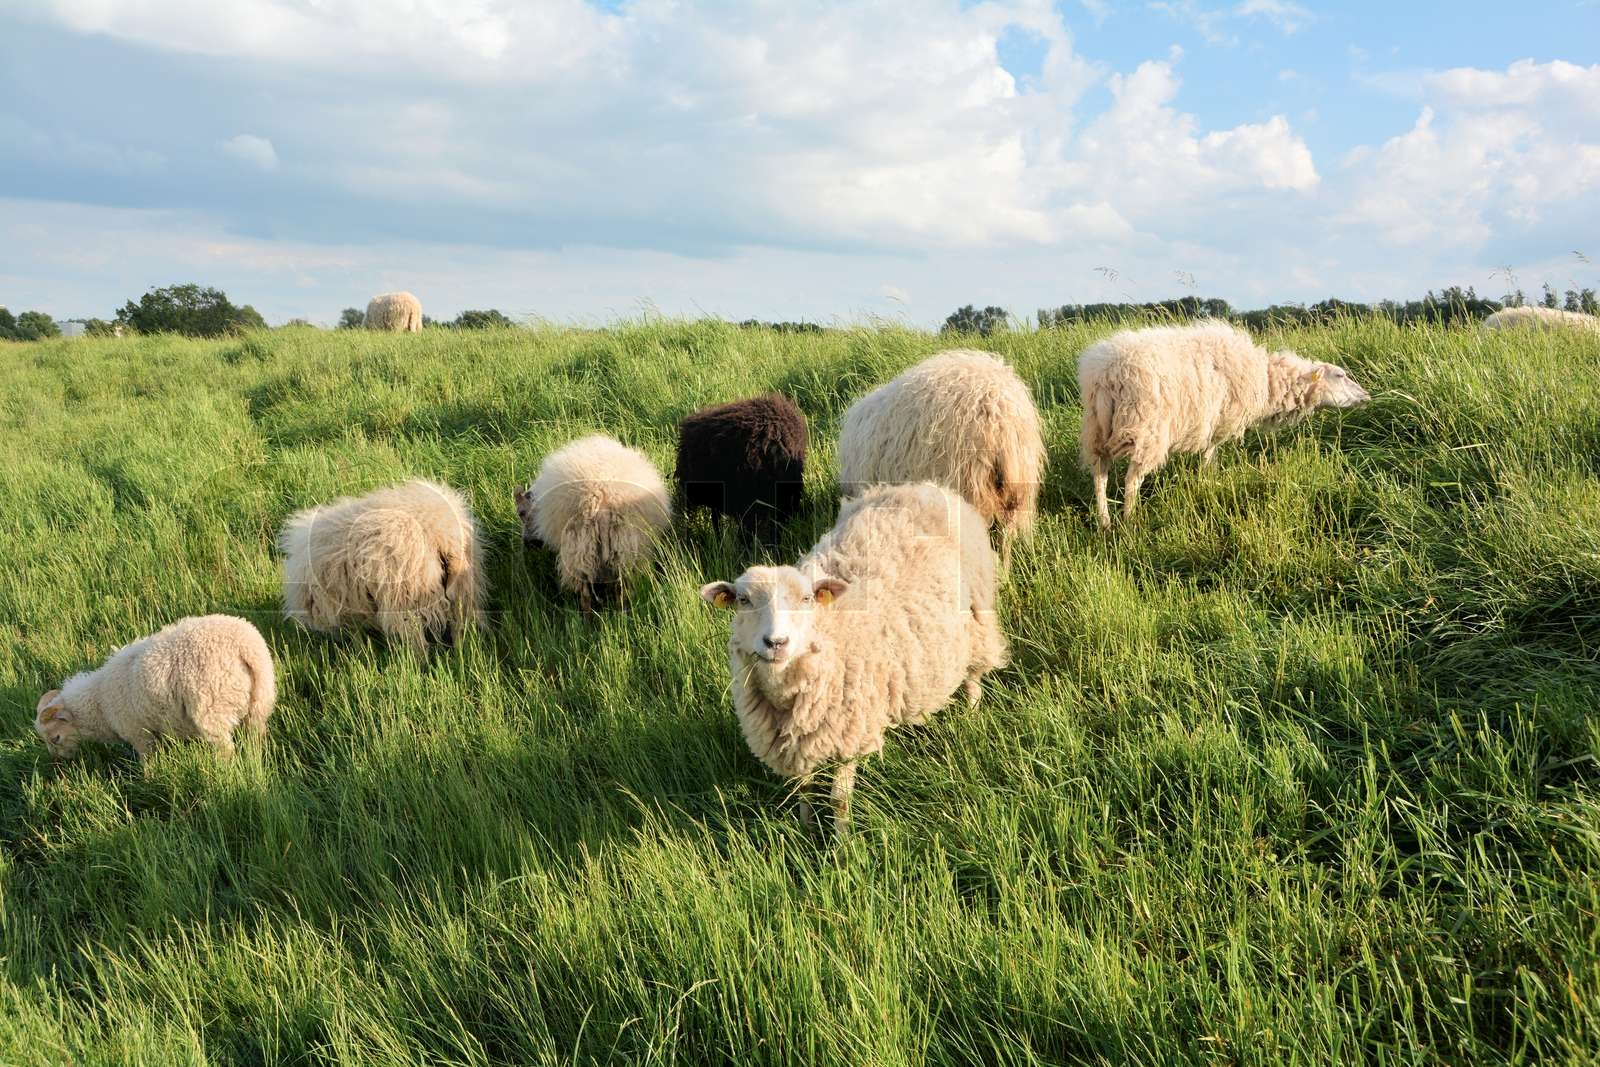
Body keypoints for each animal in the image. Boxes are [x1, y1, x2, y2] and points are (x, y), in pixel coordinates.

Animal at [35, 615, 275, 762]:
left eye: (56, 738)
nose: (58, 761)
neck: (99, 702)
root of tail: (244, 646)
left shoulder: (140, 734)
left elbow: (148, 761)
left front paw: (148, 780)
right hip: (260, 700)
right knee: (256, 735)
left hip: (212, 710)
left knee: (226, 749)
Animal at [514, 434, 672, 615]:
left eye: (521, 513)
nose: (529, 543)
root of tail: (599, 498)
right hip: (622, 548)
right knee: (621, 590)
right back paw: (622, 615)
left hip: (580, 550)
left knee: (586, 596)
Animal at [700, 481, 1008, 838]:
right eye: (743, 600)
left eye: (807, 598)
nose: (776, 643)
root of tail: (924, 487)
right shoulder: (797, 738)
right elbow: (803, 787)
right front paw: (806, 829)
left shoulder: (850, 729)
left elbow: (839, 799)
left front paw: (842, 842)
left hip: (978, 618)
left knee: (974, 677)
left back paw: (971, 716)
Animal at [1077, 320, 1371, 530]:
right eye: (1340, 375)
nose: (1367, 397)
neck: (1266, 380)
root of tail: (1106, 375)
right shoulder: (1217, 423)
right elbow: (1210, 457)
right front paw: (1210, 482)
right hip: (1146, 429)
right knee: (1132, 480)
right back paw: (1130, 521)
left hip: (1096, 430)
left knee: (1099, 475)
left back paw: (1105, 522)